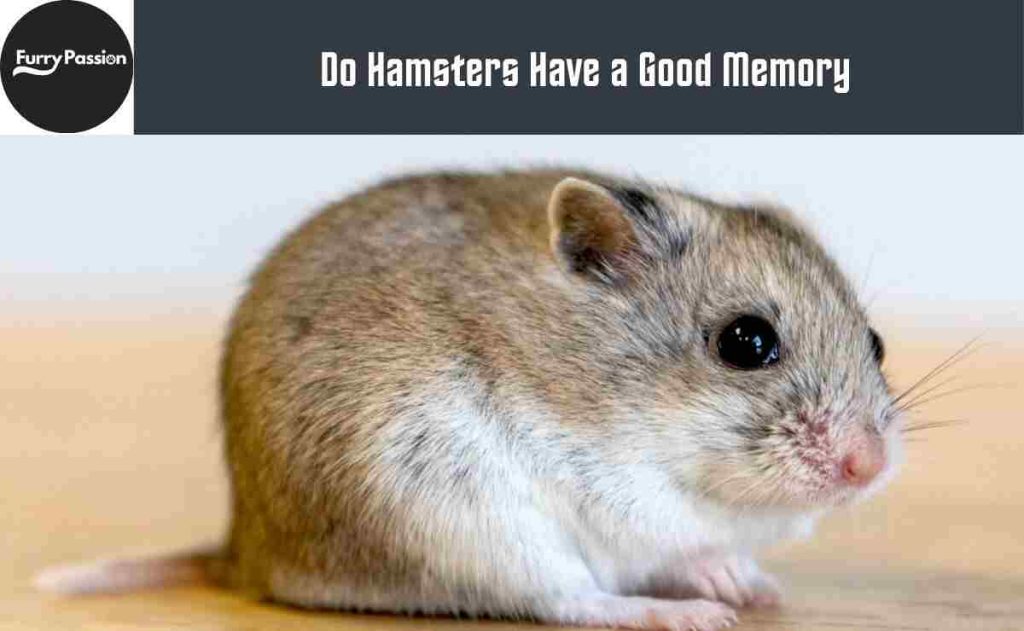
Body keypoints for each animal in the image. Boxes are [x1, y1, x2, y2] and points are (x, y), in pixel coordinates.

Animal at [37, 170, 902, 631]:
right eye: (746, 341)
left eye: (877, 341)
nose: (869, 465)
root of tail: (241, 550)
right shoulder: (615, 490)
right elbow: (667, 543)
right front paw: (718, 585)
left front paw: (757, 584)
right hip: (467, 522)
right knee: (571, 599)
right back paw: (675, 612)